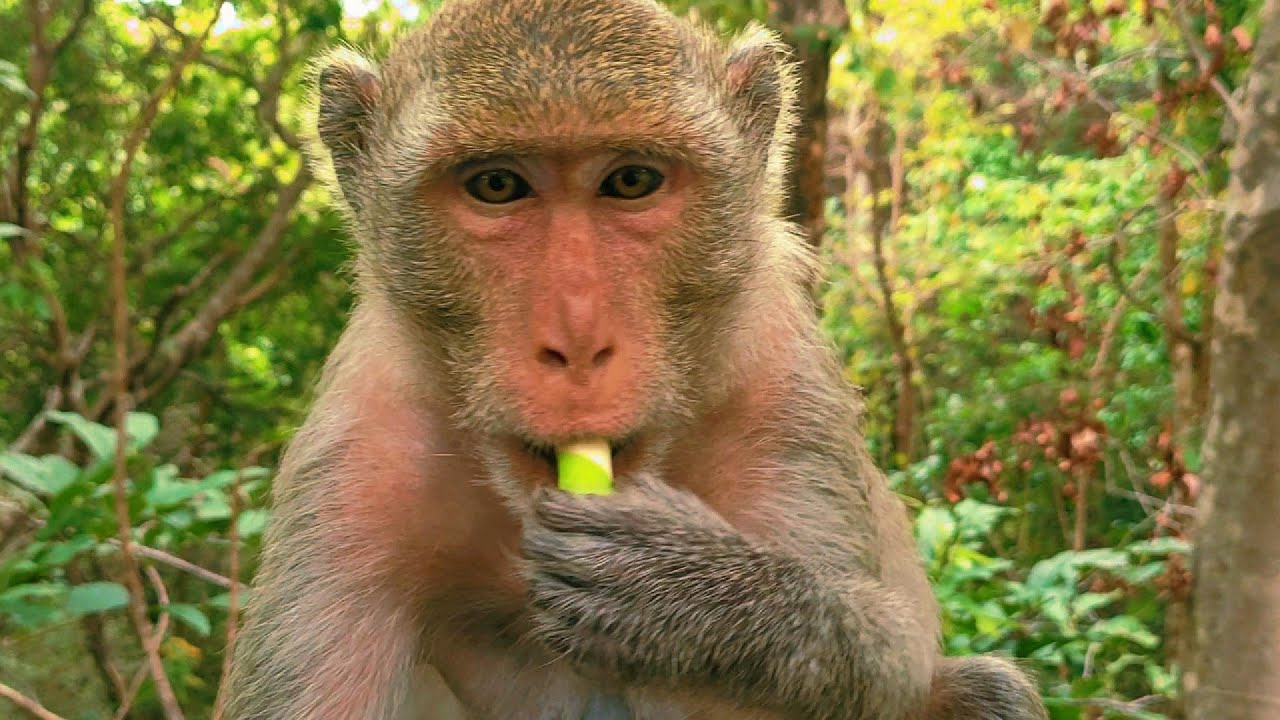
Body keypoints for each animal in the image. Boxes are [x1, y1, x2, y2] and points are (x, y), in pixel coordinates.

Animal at [221, 1, 1050, 719]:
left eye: (631, 181)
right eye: (497, 185)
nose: (578, 342)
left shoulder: (784, 396)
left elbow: (894, 660)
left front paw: (700, 595)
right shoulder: (352, 475)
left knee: (984, 690)